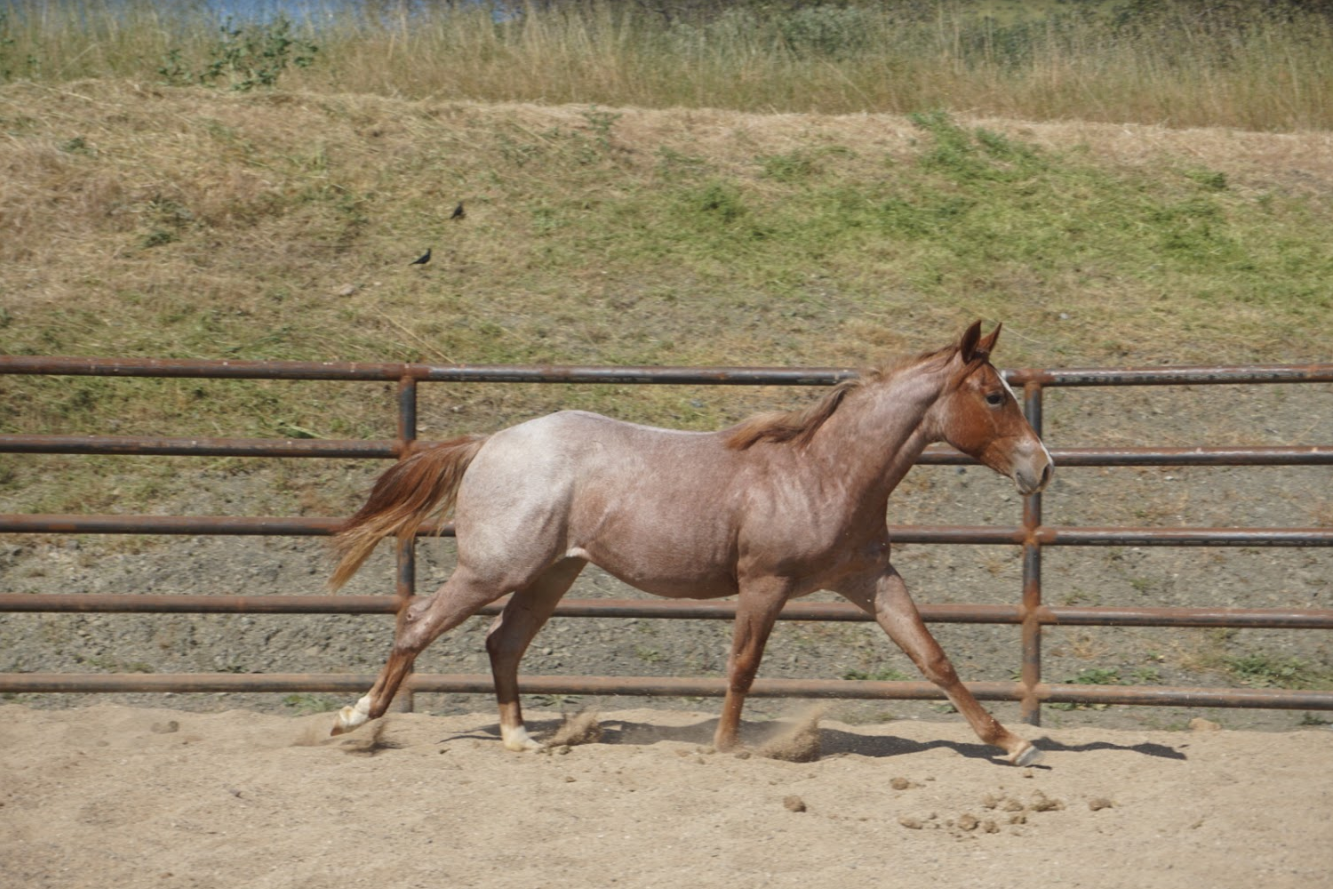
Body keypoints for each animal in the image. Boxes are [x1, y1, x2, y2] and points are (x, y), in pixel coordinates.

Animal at [327, 321, 1053, 765]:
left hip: (550, 574)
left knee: (502, 641)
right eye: (993, 395)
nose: (1042, 467)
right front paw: (726, 745)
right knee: (419, 624)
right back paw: (354, 718)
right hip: (492, 568)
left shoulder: (869, 580)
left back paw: (519, 739)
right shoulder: (764, 583)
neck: (824, 469)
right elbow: (742, 666)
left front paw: (1010, 742)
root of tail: (489, 443)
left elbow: (933, 658)